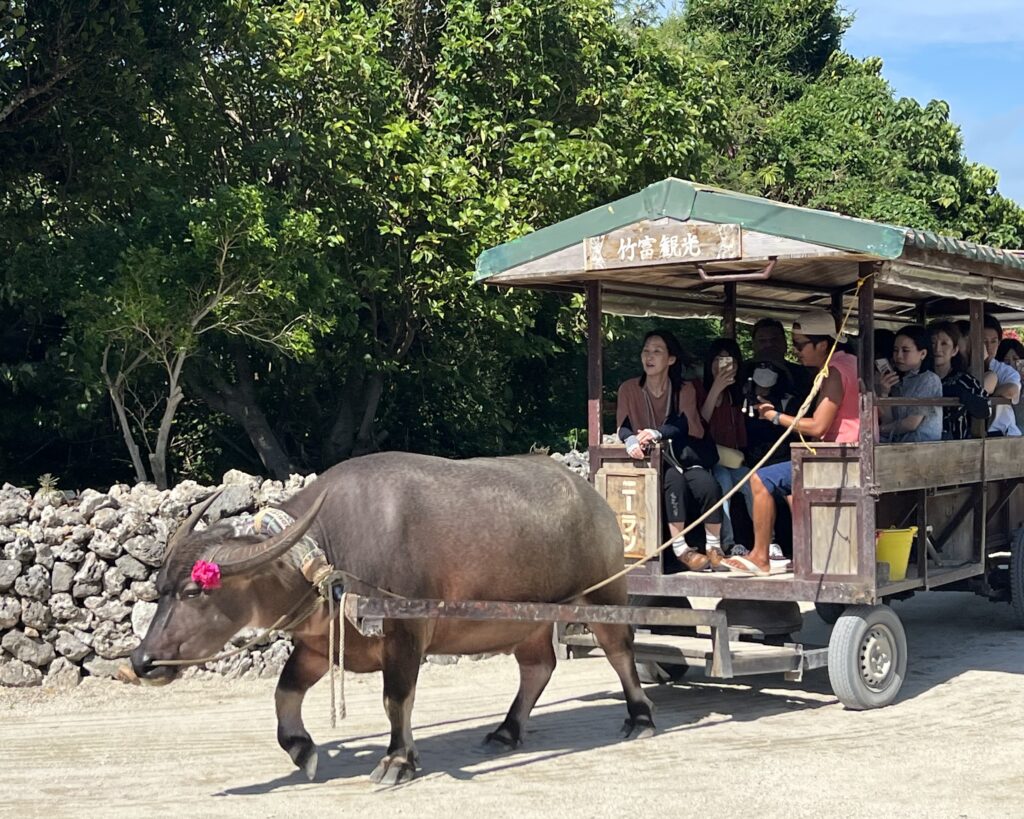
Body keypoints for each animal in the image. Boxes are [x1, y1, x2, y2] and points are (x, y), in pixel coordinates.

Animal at [131, 453, 655, 784]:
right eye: (160, 590)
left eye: (195, 590)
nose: (141, 661)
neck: (328, 553)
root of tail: (593, 499)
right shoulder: (321, 643)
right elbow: (285, 694)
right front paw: (303, 750)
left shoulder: (405, 634)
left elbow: (396, 699)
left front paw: (398, 761)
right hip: (524, 620)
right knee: (538, 666)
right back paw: (506, 731)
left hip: (604, 594)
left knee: (620, 651)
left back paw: (641, 718)